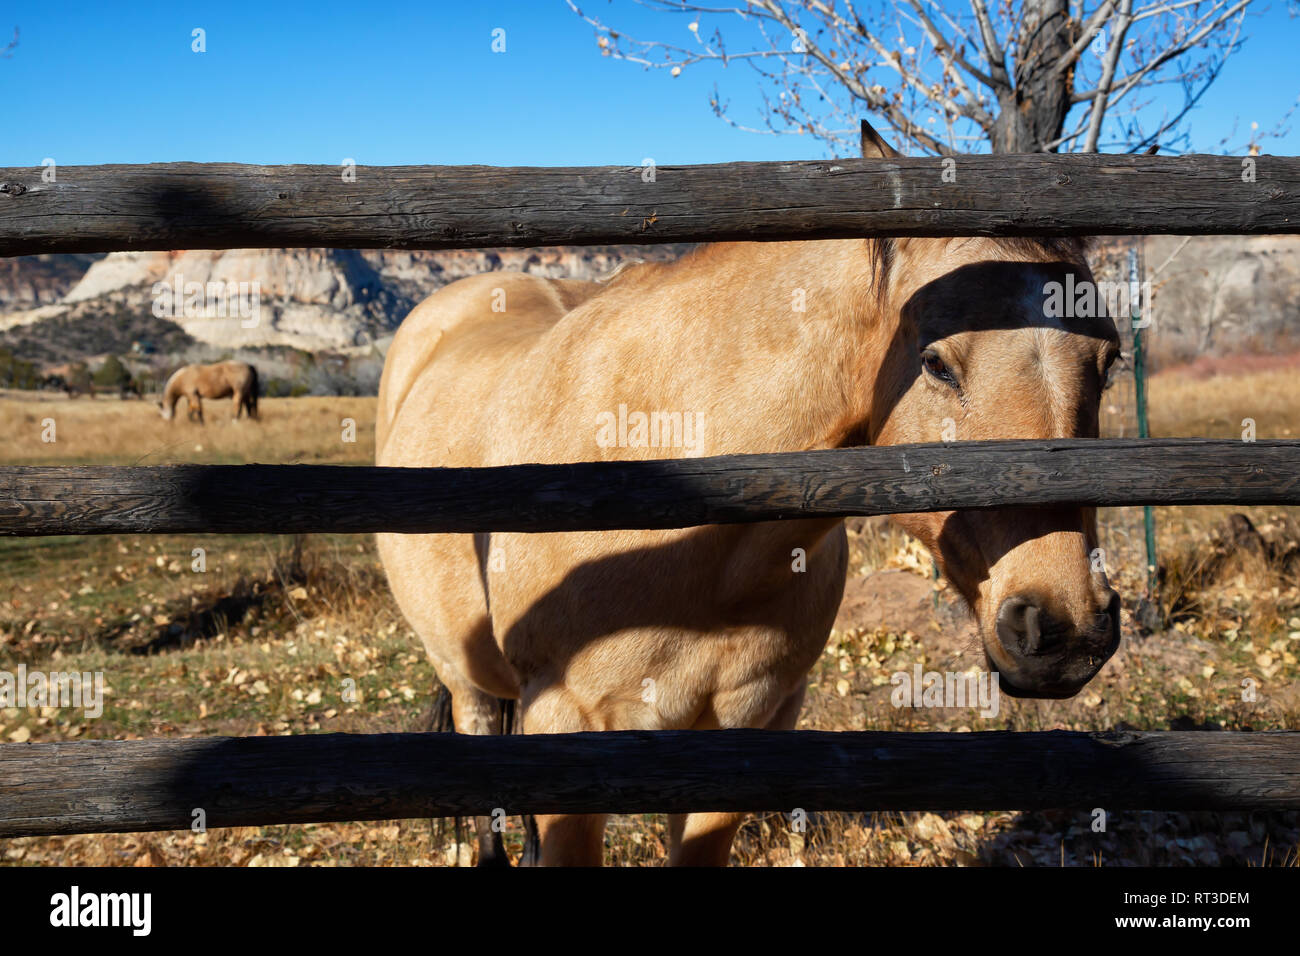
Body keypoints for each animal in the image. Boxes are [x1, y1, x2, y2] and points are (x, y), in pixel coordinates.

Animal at [375, 123, 1122, 867]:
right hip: (467, 684)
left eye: (1109, 363)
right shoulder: (565, 732)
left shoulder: (748, 726)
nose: (1063, 630)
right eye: (937, 364)